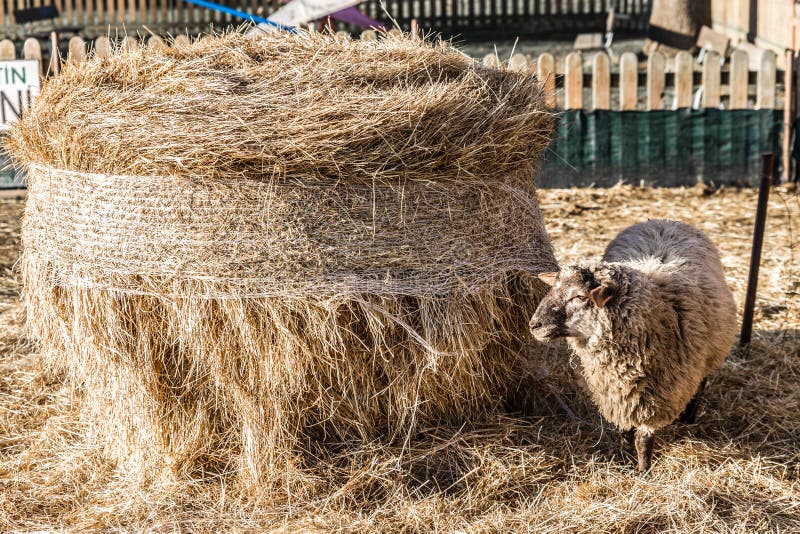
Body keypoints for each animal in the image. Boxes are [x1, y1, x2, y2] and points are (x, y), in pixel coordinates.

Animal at [529, 219, 737, 472]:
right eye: (553, 289)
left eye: (579, 297)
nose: (534, 325)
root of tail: (664, 220)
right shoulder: (619, 394)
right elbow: (626, 431)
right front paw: (624, 455)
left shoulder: (657, 397)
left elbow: (643, 440)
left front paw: (644, 470)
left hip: (710, 352)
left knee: (701, 383)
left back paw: (689, 417)